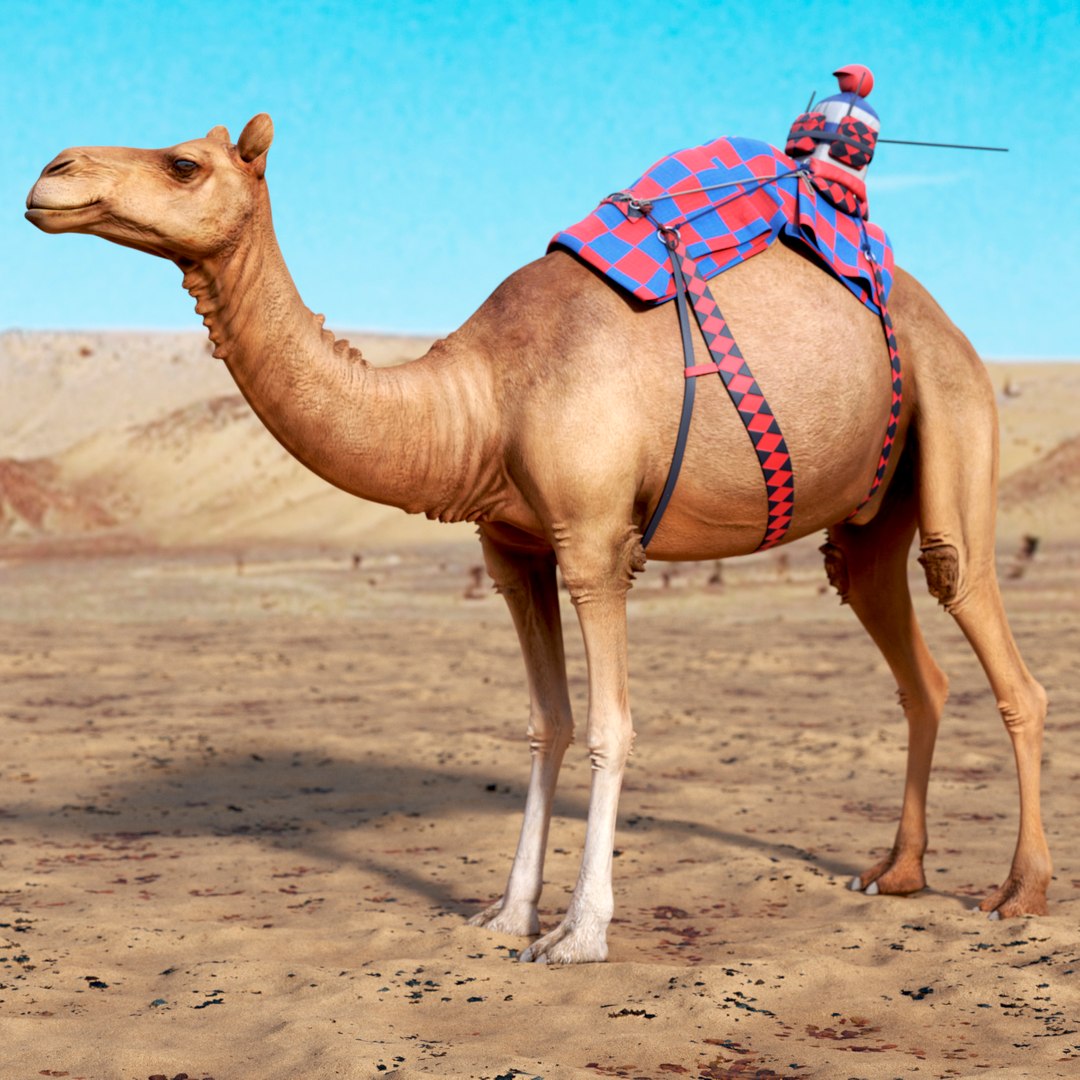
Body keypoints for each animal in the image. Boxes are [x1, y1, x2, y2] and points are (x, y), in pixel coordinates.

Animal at [25, 114, 1051, 963]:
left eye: (183, 164)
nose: (51, 170)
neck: (482, 395)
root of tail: (944, 321)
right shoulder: (512, 552)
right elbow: (543, 723)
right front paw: (508, 913)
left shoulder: (595, 544)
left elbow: (608, 727)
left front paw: (579, 933)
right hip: (870, 514)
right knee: (911, 657)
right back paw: (898, 872)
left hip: (953, 409)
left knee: (985, 622)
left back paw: (1020, 892)